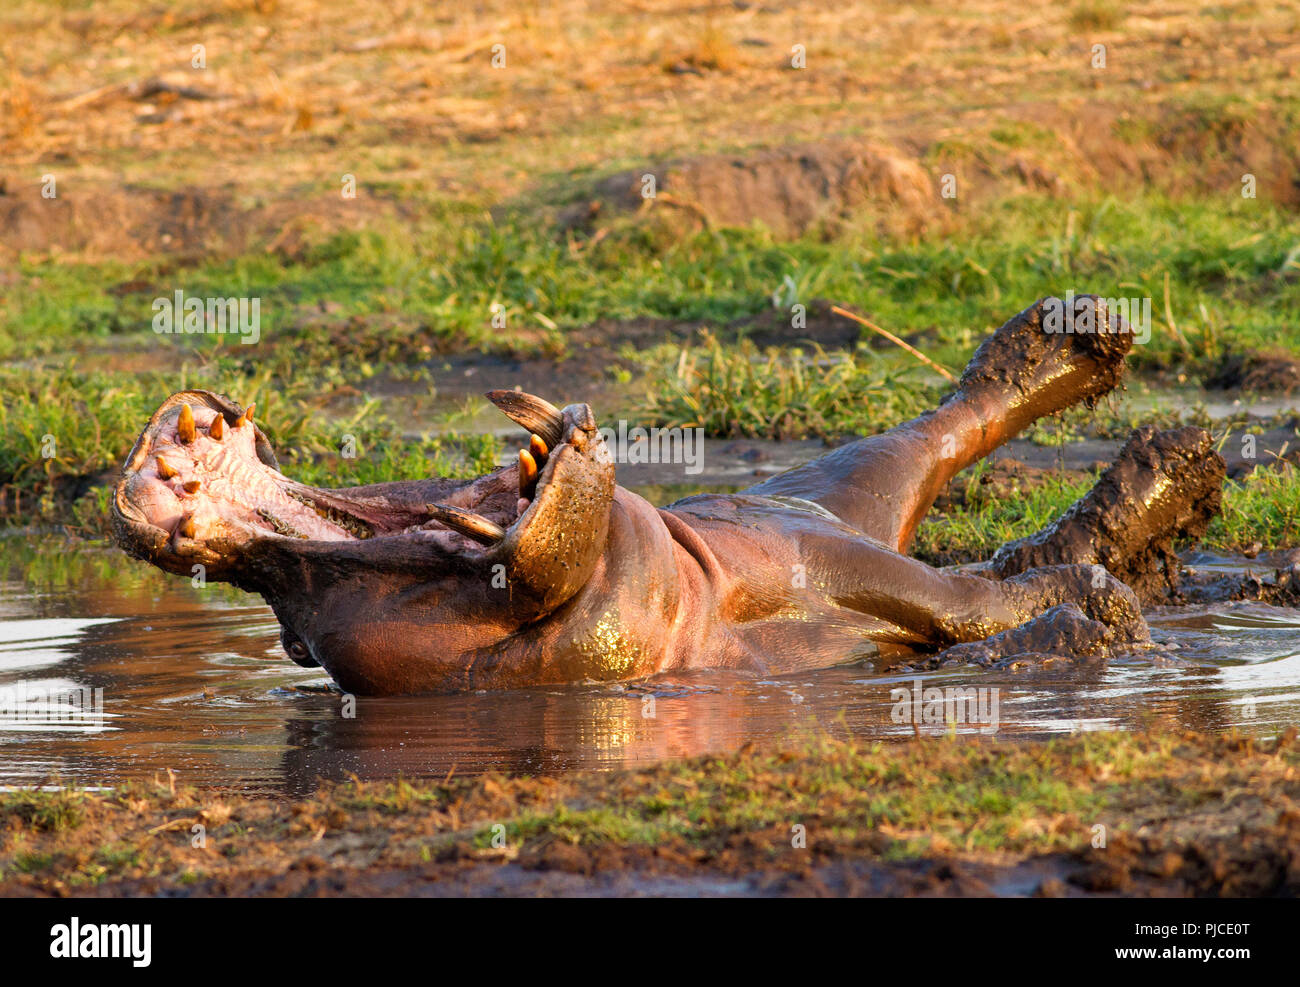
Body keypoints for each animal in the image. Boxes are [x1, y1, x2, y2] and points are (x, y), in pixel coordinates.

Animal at [111, 295, 1225, 695]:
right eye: (293, 623)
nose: (148, 468)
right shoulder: (839, 569)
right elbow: (974, 608)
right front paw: (1094, 611)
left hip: (821, 484)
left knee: (949, 425)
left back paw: (1102, 363)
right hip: (836, 511)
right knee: (997, 553)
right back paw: (1155, 495)